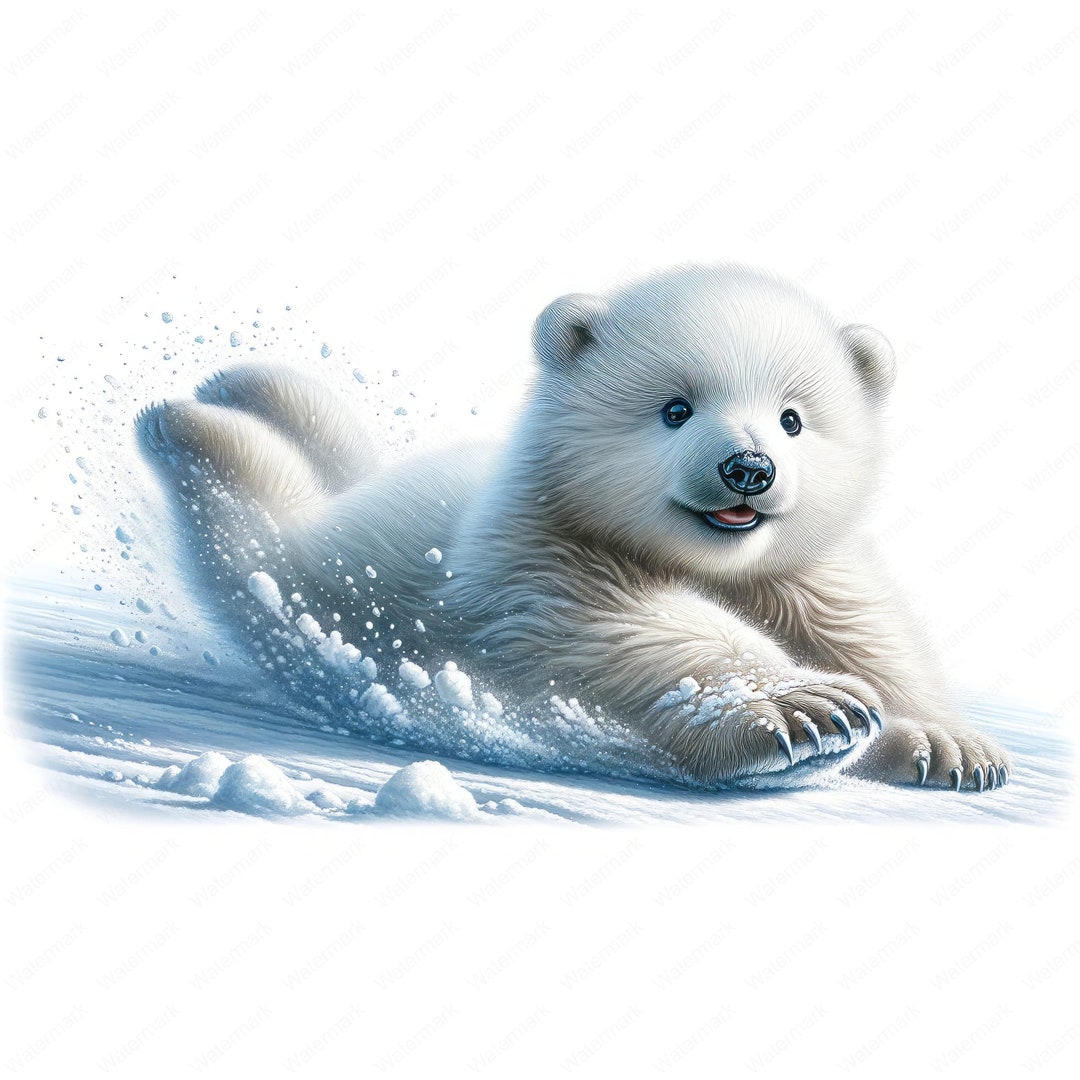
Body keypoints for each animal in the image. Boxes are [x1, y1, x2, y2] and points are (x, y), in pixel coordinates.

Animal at [136, 262, 1011, 792]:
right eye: (675, 408)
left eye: (794, 418)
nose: (748, 469)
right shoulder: (539, 556)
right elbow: (623, 626)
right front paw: (814, 708)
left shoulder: (803, 573)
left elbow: (868, 633)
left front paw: (947, 746)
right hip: (316, 575)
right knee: (255, 522)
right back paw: (192, 412)